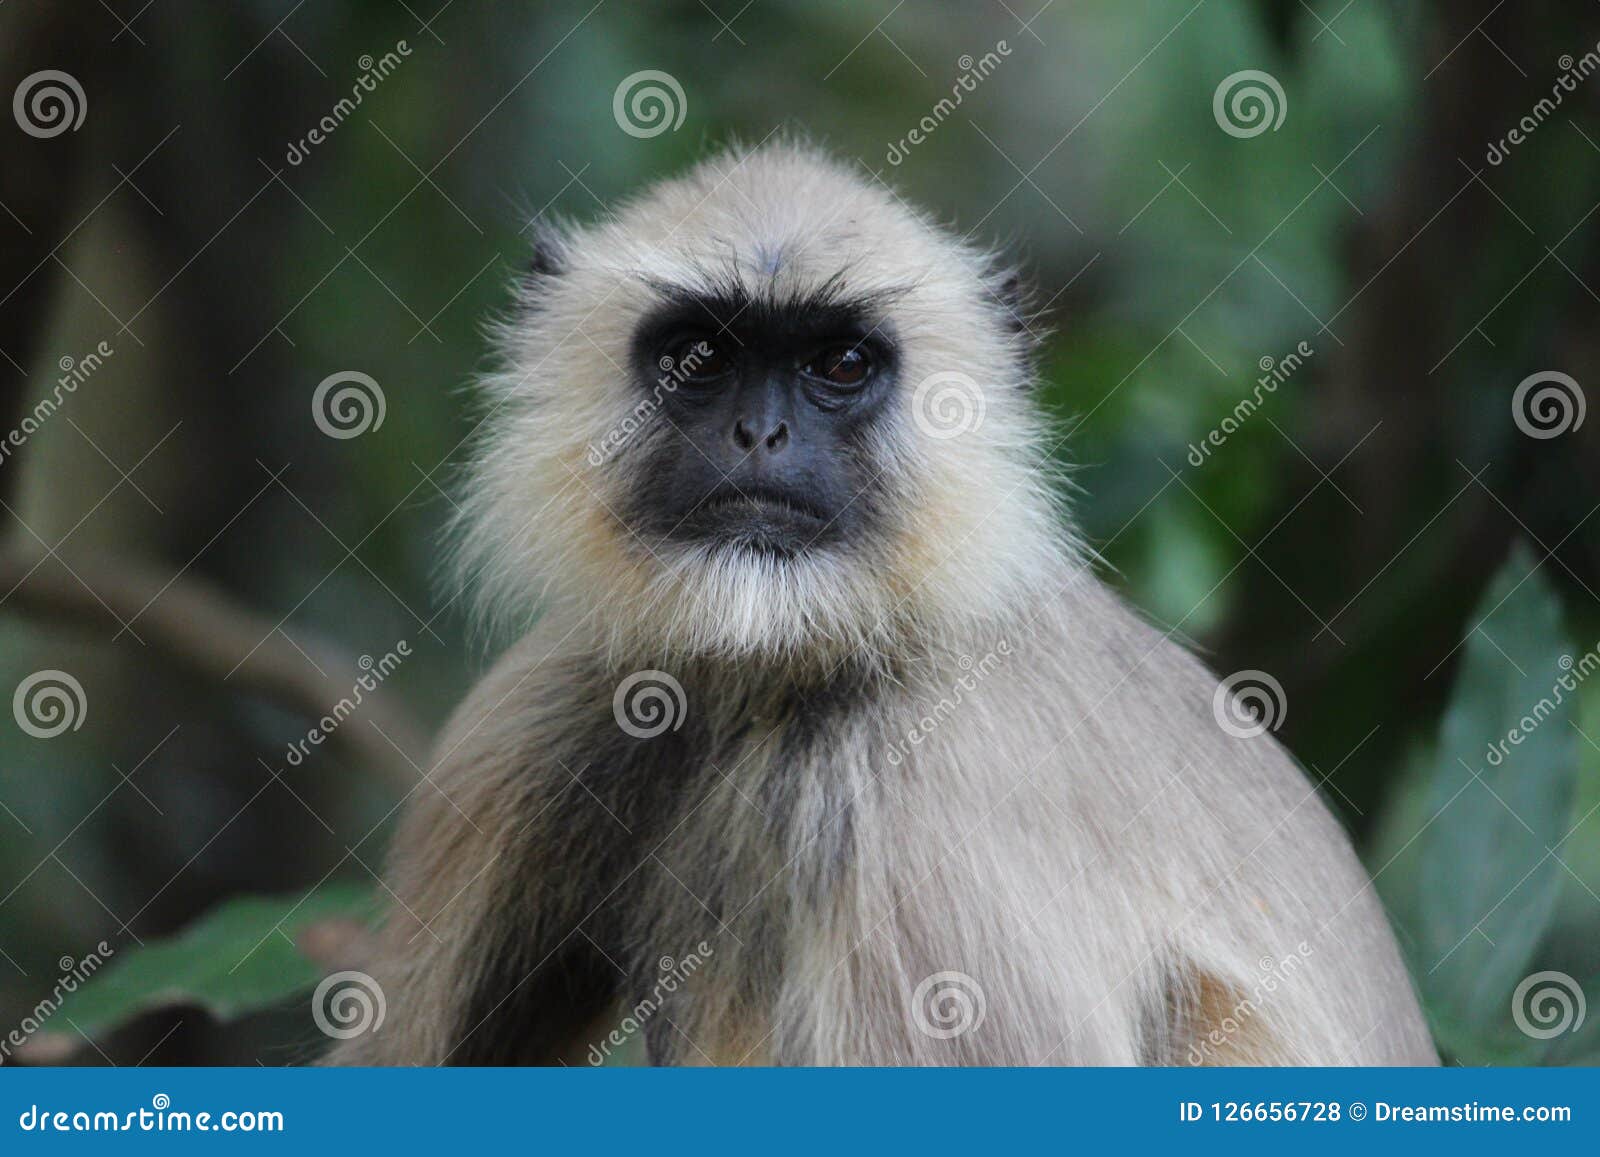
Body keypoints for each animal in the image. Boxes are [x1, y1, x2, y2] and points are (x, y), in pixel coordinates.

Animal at [324, 140, 1437, 1067]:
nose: (759, 434)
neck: (773, 684)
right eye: (698, 356)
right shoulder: (536, 718)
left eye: (841, 364)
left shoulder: (917, 804)